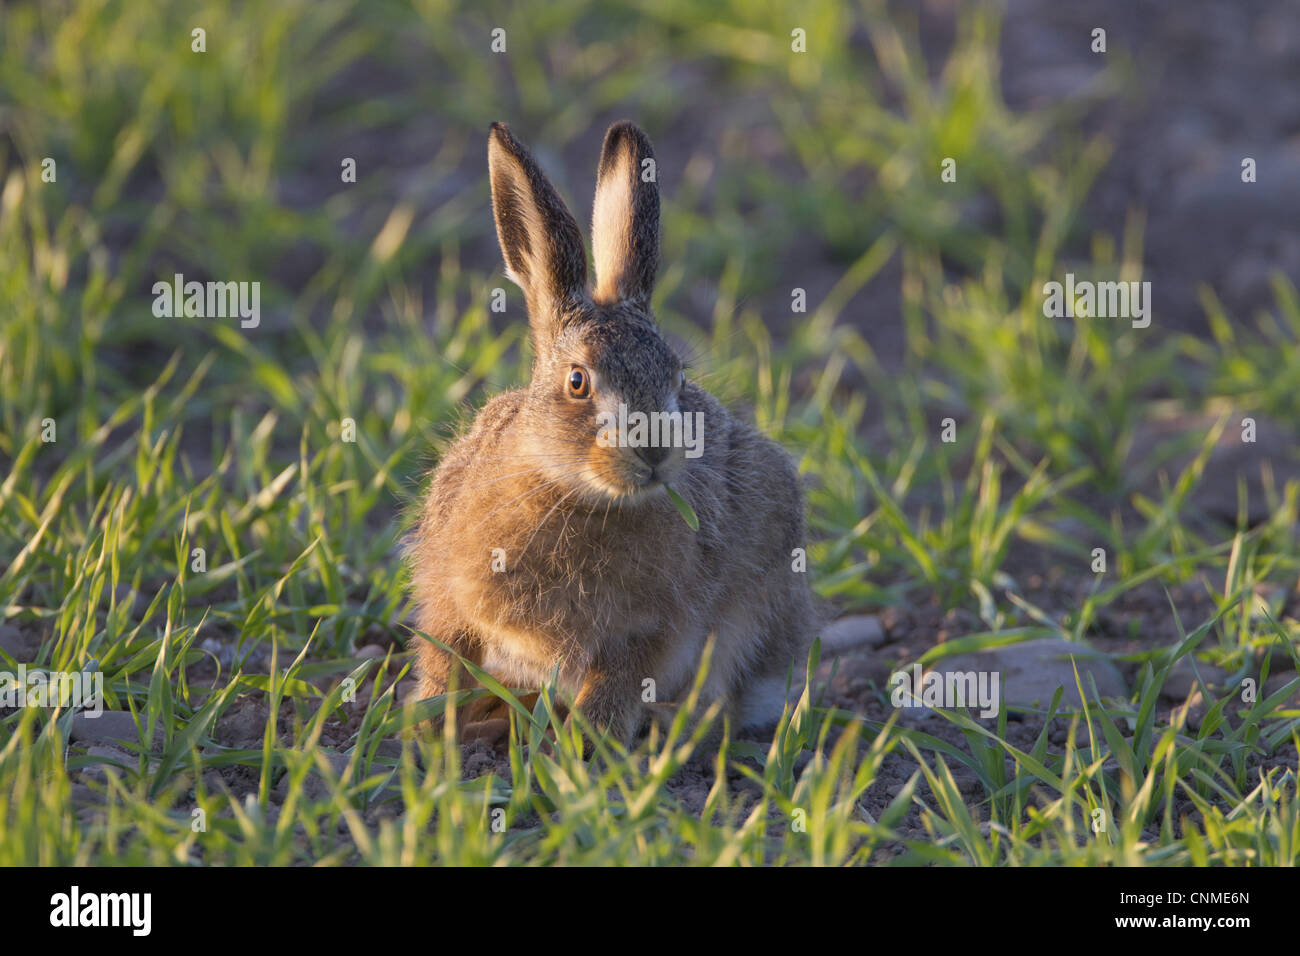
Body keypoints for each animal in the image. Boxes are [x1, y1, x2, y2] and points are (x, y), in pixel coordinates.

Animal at [405, 120, 815, 745]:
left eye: (678, 379)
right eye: (578, 381)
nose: (656, 452)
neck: (570, 491)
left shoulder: (649, 632)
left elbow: (616, 684)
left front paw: (584, 742)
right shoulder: (450, 598)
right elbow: (445, 657)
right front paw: (429, 723)